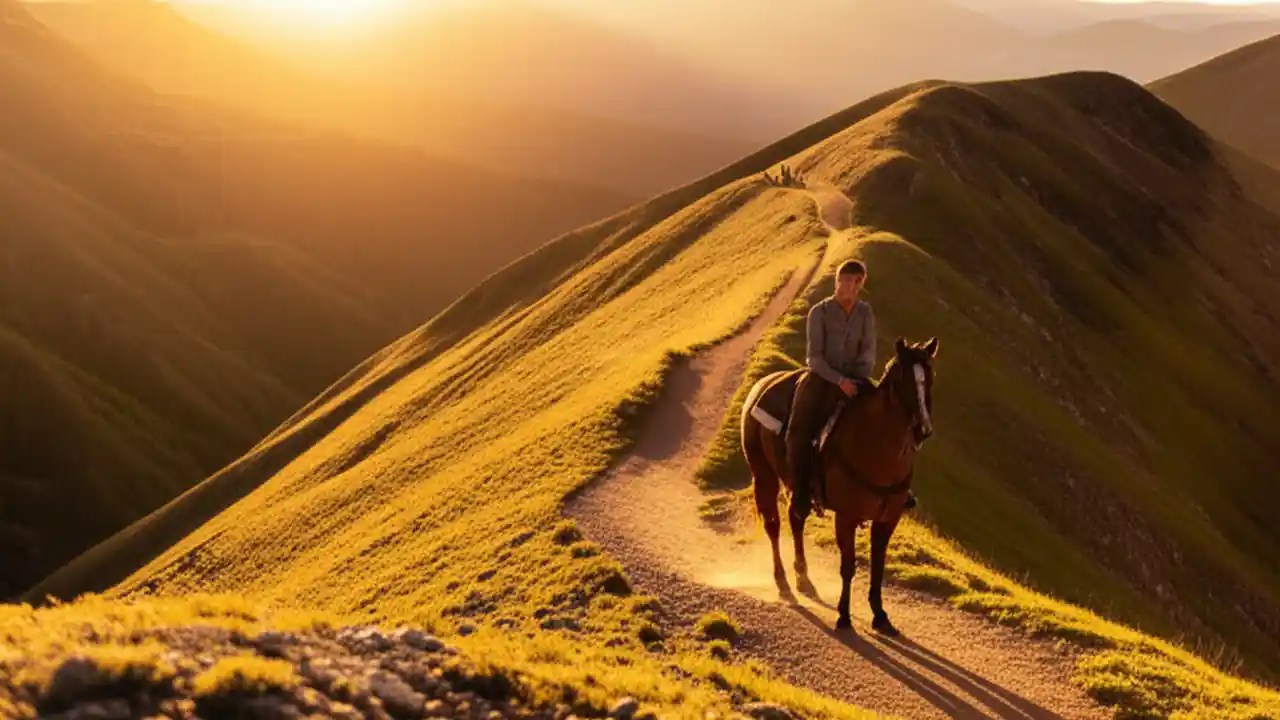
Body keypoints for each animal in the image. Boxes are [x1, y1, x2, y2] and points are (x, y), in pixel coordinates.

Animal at [741, 337, 937, 633]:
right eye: (903, 380)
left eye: (930, 378)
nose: (922, 430)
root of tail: (761, 384)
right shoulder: (846, 516)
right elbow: (848, 565)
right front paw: (844, 615)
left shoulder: (887, 520)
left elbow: (878, 566)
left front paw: (880, 615)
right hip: (764, 475)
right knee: (773, 525)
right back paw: (783, 582)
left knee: (796, 518)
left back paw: (803, 578)